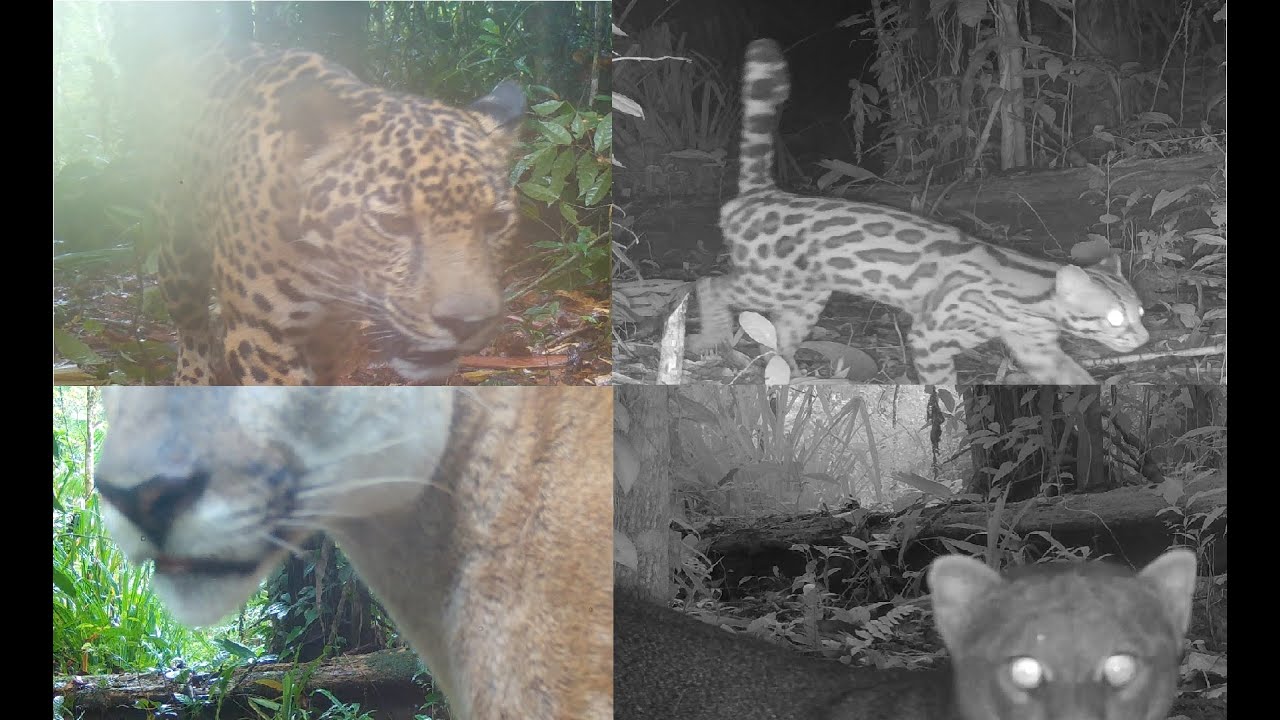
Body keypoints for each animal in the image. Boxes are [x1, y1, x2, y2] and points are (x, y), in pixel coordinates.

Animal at [134, 41, 525, 385]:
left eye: (496, 221)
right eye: (393, 223)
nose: (468, 323)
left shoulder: (335, 330)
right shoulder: (259, 333)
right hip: (178, 257)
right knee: (192, 329)